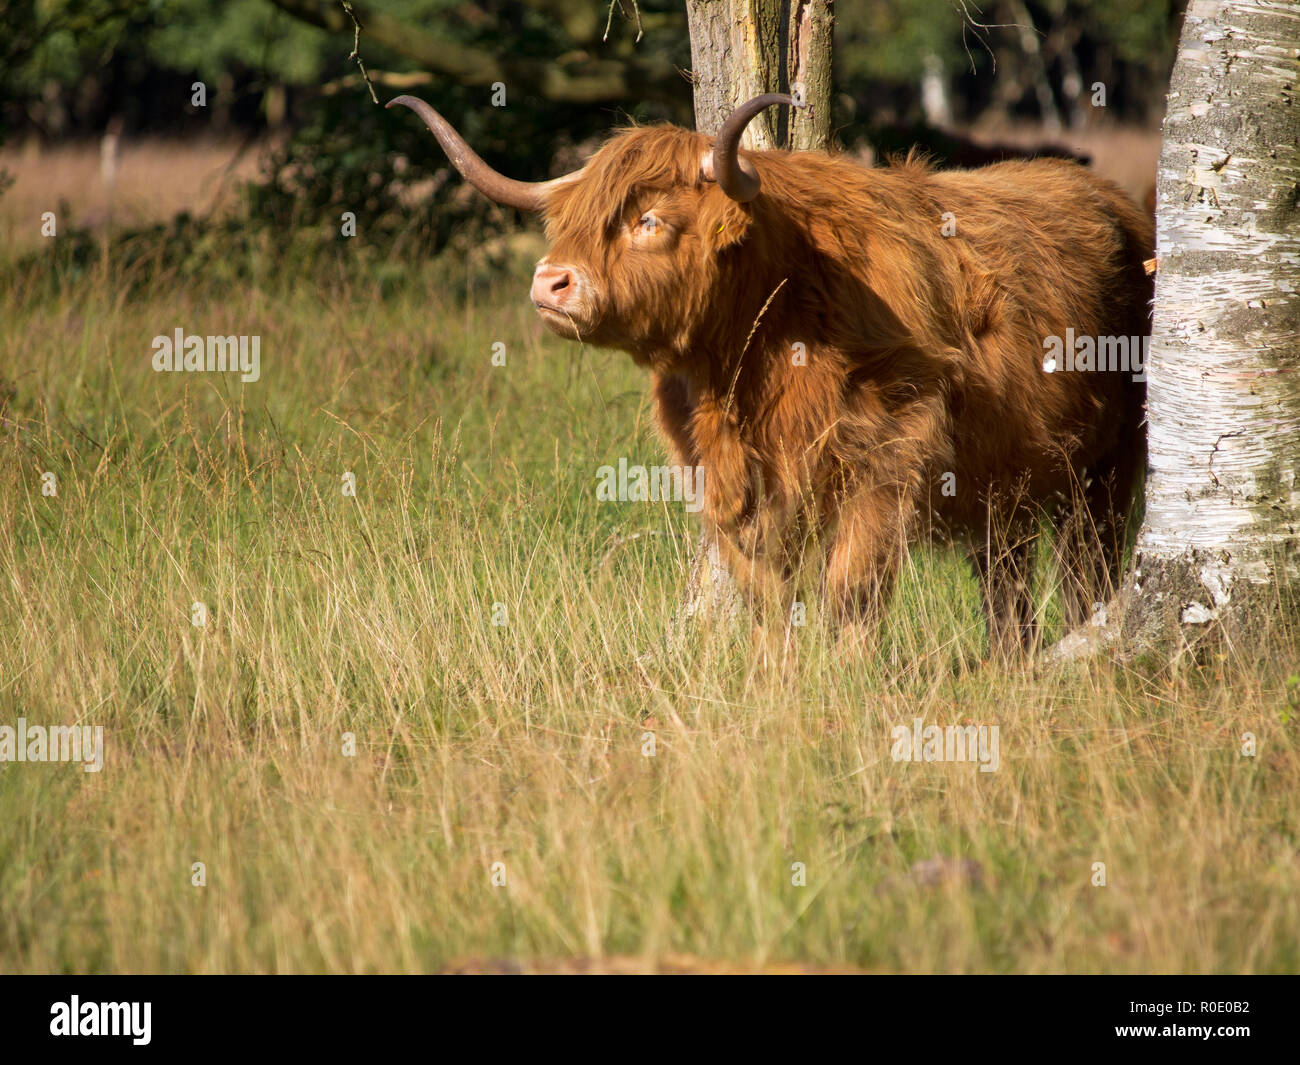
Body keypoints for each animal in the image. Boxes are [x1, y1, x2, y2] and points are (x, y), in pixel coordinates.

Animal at [388, 93, 1153, 659]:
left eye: (649, 220)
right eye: (569, 221)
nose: (551, 282)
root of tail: (1110, 196)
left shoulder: (887, 460)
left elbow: (851, 586)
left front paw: (847, 677)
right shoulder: (731, 479)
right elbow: (766, 592)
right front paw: (771, 673)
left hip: (1107, 470)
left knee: (1087, 568)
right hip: (1008, 479)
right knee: (1006, 576)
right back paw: (1008, 661)